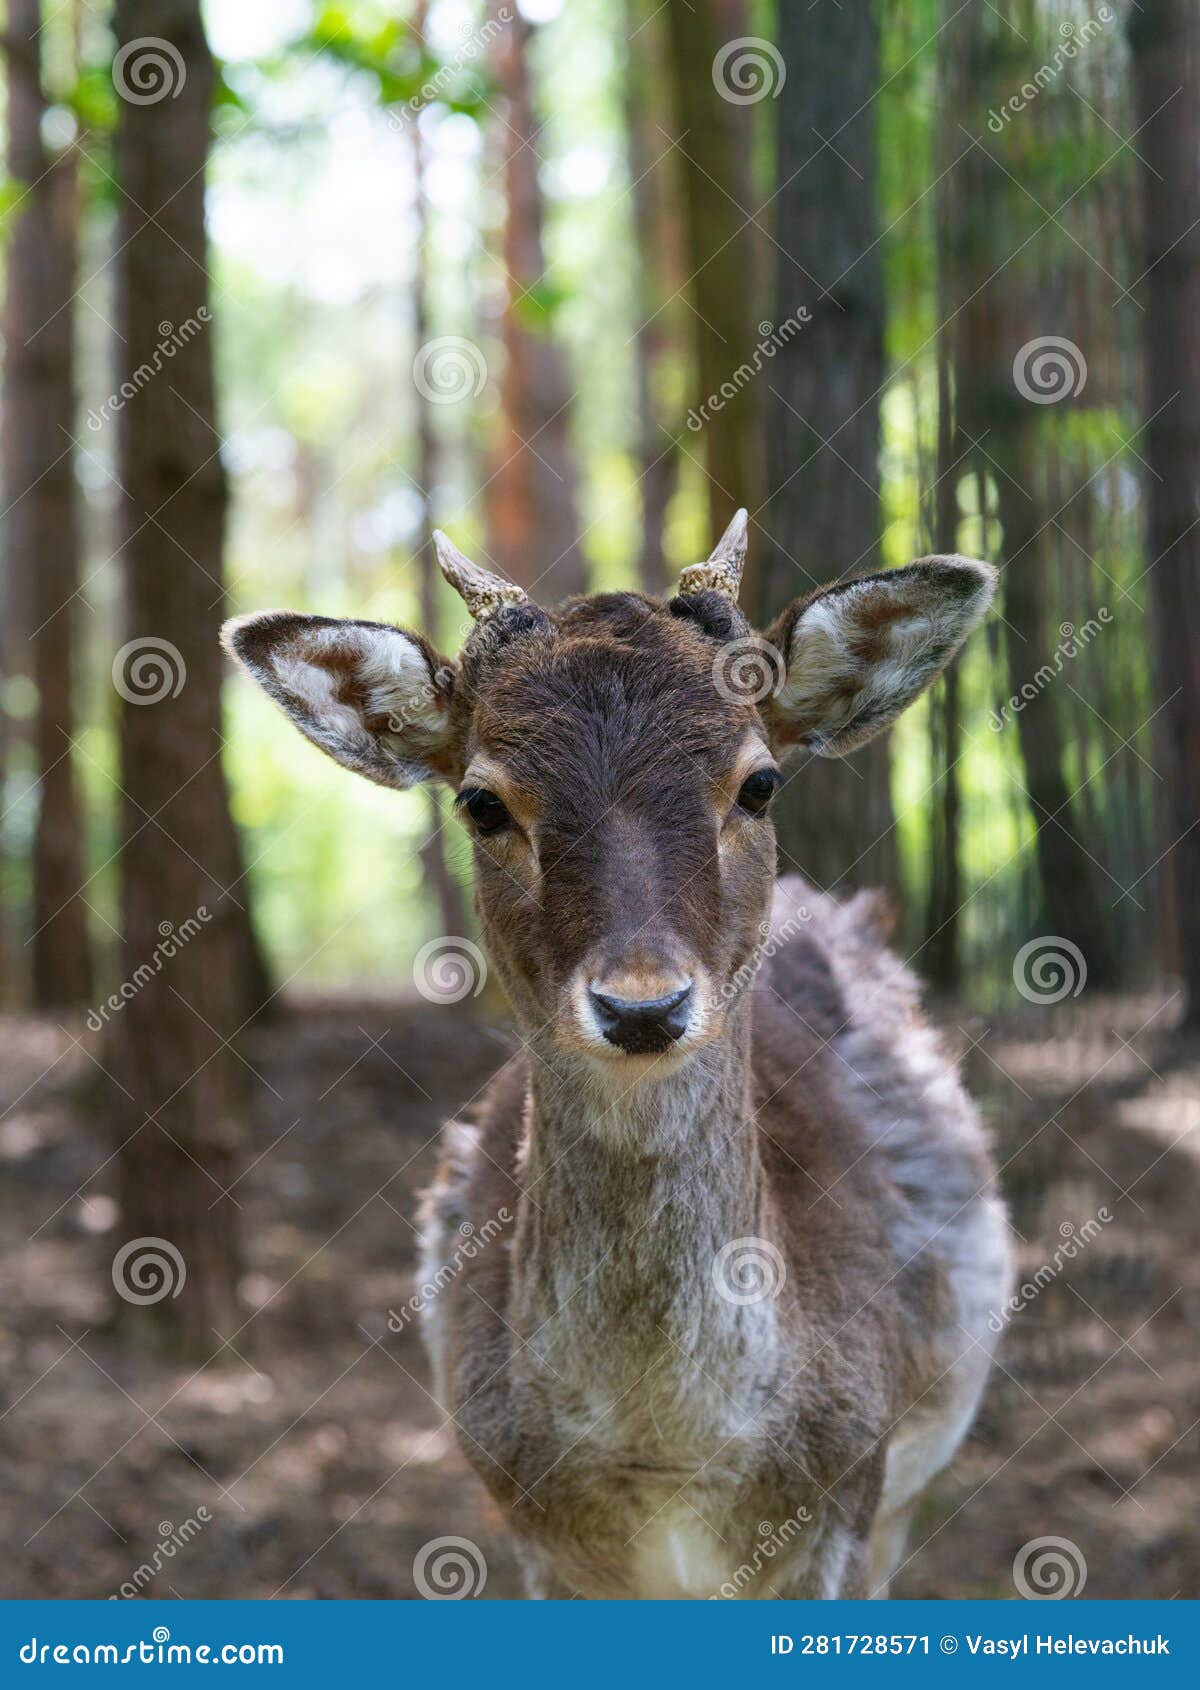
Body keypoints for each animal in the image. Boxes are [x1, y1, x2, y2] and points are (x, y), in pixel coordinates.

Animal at [222, 511, 1013, 1600]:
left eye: (759, 780)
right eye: (481, 801)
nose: (643, 1006)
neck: (667, 1458)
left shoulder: (849, 1499)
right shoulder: (533, 1531)